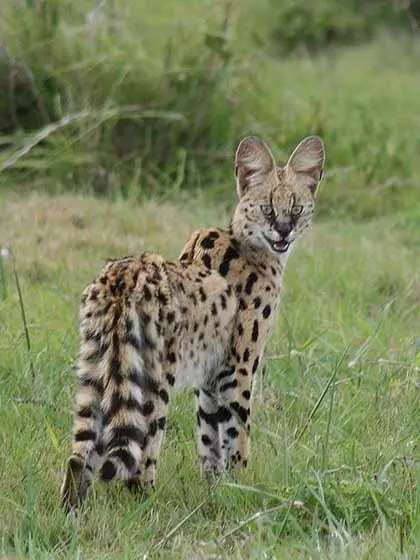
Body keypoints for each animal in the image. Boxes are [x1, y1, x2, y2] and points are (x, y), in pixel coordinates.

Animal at [60, 135, 326, 508]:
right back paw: (145, 503)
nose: (284, 232)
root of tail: (122, 277)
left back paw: (73, 507)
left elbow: (210, 435)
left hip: (97, 365)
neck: (249, 244)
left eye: (297, 208)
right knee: (140, 457)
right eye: (268, 208)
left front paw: (216, 487)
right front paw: (242, 489)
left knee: (79, 452)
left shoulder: (210, 375)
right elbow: (237, 433)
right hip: (153, 377)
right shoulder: (239, 366)